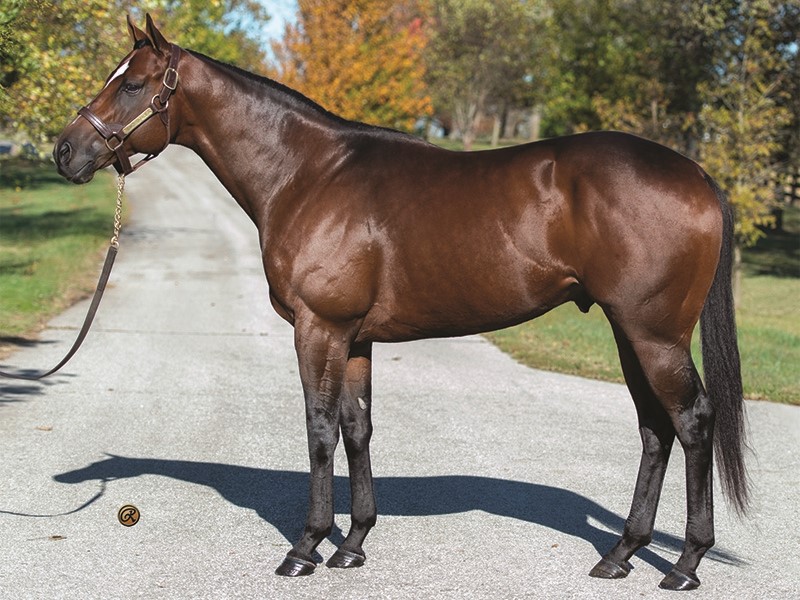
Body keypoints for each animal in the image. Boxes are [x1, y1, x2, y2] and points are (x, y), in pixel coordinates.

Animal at [53, 16, 748, 590]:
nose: (66, 152)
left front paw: (305, 548)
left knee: (692, 423)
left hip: (653, 333)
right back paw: (620, 555)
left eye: (132, 85)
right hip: (630, 333)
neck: (307, 174)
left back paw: (684, 564)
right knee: (656, 429)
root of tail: (697, 175)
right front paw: (352, 545)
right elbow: (357, 429)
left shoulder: (319, 328)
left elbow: (319, 429)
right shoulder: (356, 337)